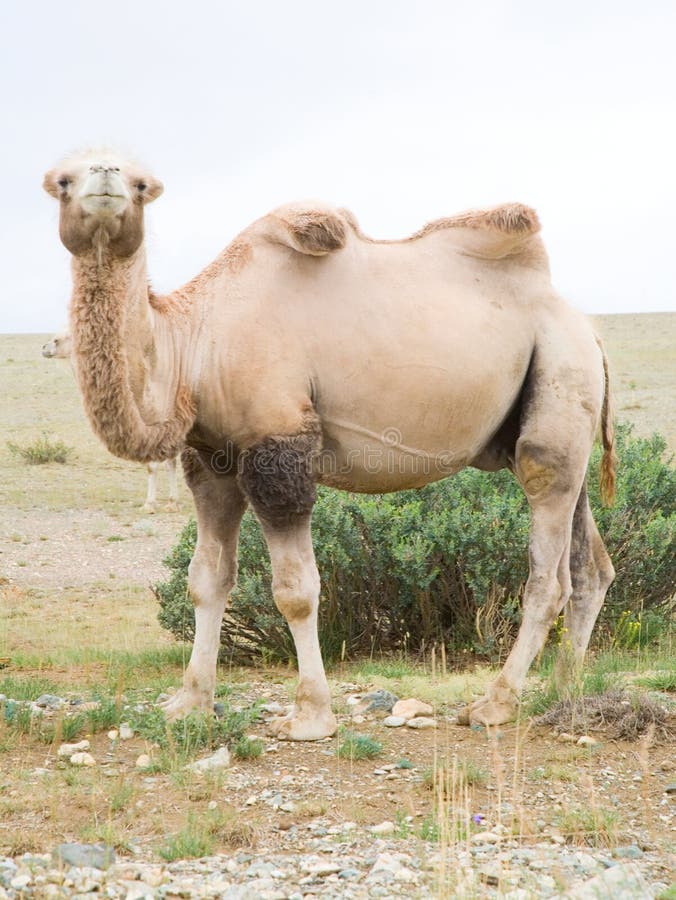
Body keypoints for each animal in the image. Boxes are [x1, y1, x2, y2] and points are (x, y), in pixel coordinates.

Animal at [41, 330, 179, 512]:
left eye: (57, 339)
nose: (44, 348)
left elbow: (157, 465)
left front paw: (153, 504)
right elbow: (162, 464)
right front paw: (166, 502)